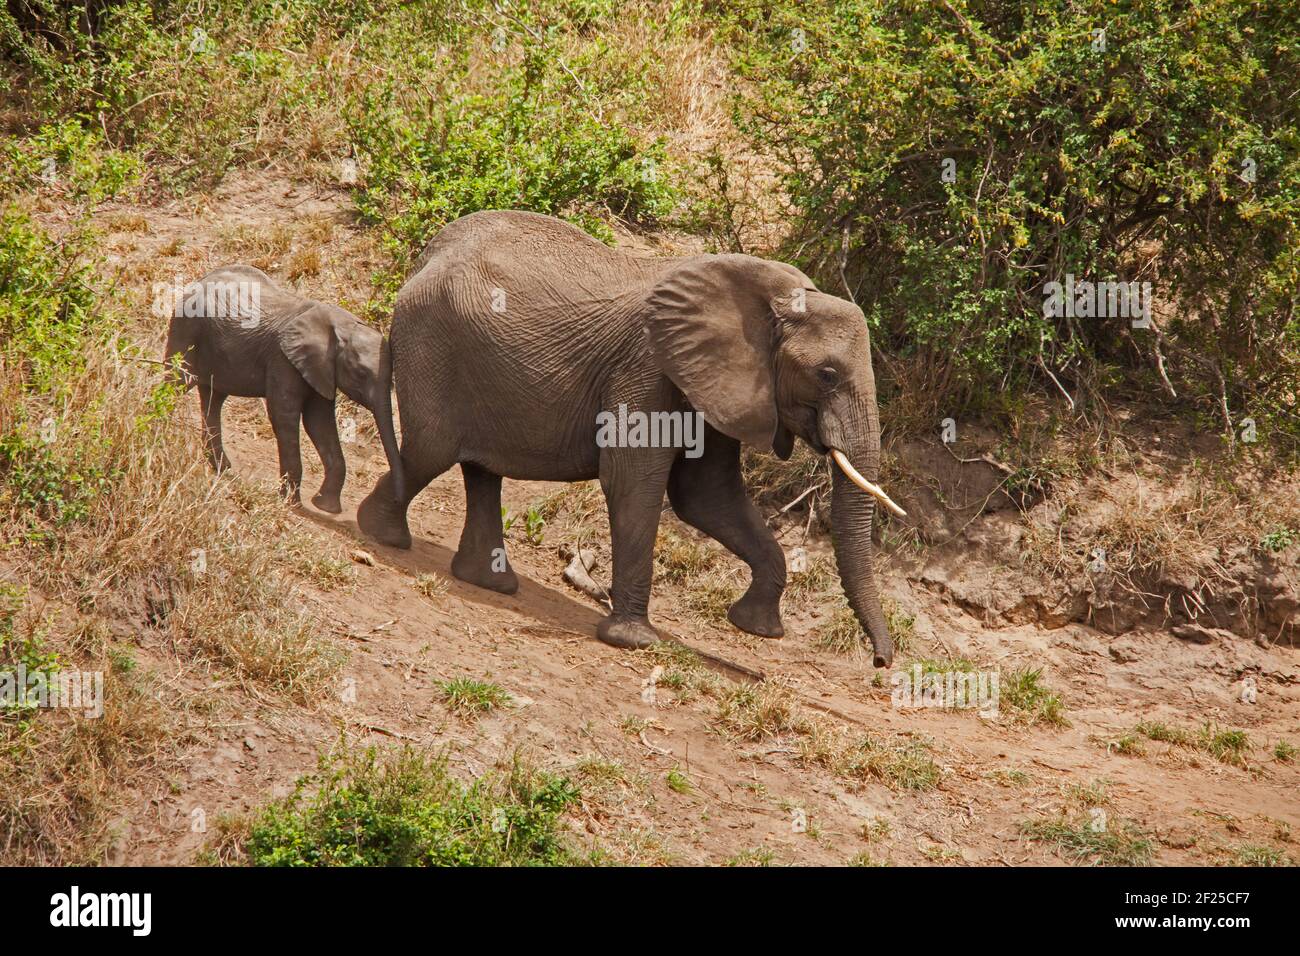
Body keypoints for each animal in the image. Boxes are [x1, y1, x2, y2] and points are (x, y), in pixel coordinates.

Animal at [164, 264, 405, 513]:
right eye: (361, 374)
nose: (397, 501)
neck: (342, 325)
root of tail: (198, 282)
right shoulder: (283, 360)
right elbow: (285, 416)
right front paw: (291, 504)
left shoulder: (319, 368)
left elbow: (319, 423)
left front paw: (325, 507)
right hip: (187, 329)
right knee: (177, 382)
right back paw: (162, 434)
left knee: (213, 398)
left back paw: (224, 470)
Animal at [357, 211, 905, 666]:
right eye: (827, 375)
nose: (881, 662)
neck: (769, 296)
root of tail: (427, 254)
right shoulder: (647, 368)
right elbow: (634, 482)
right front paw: (634, 641)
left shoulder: (709, 385)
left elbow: (707, 497)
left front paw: (756, 627)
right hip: (433, 338)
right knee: (431, 449)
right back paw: (381, 535)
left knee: (480, 468)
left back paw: (488, 582)